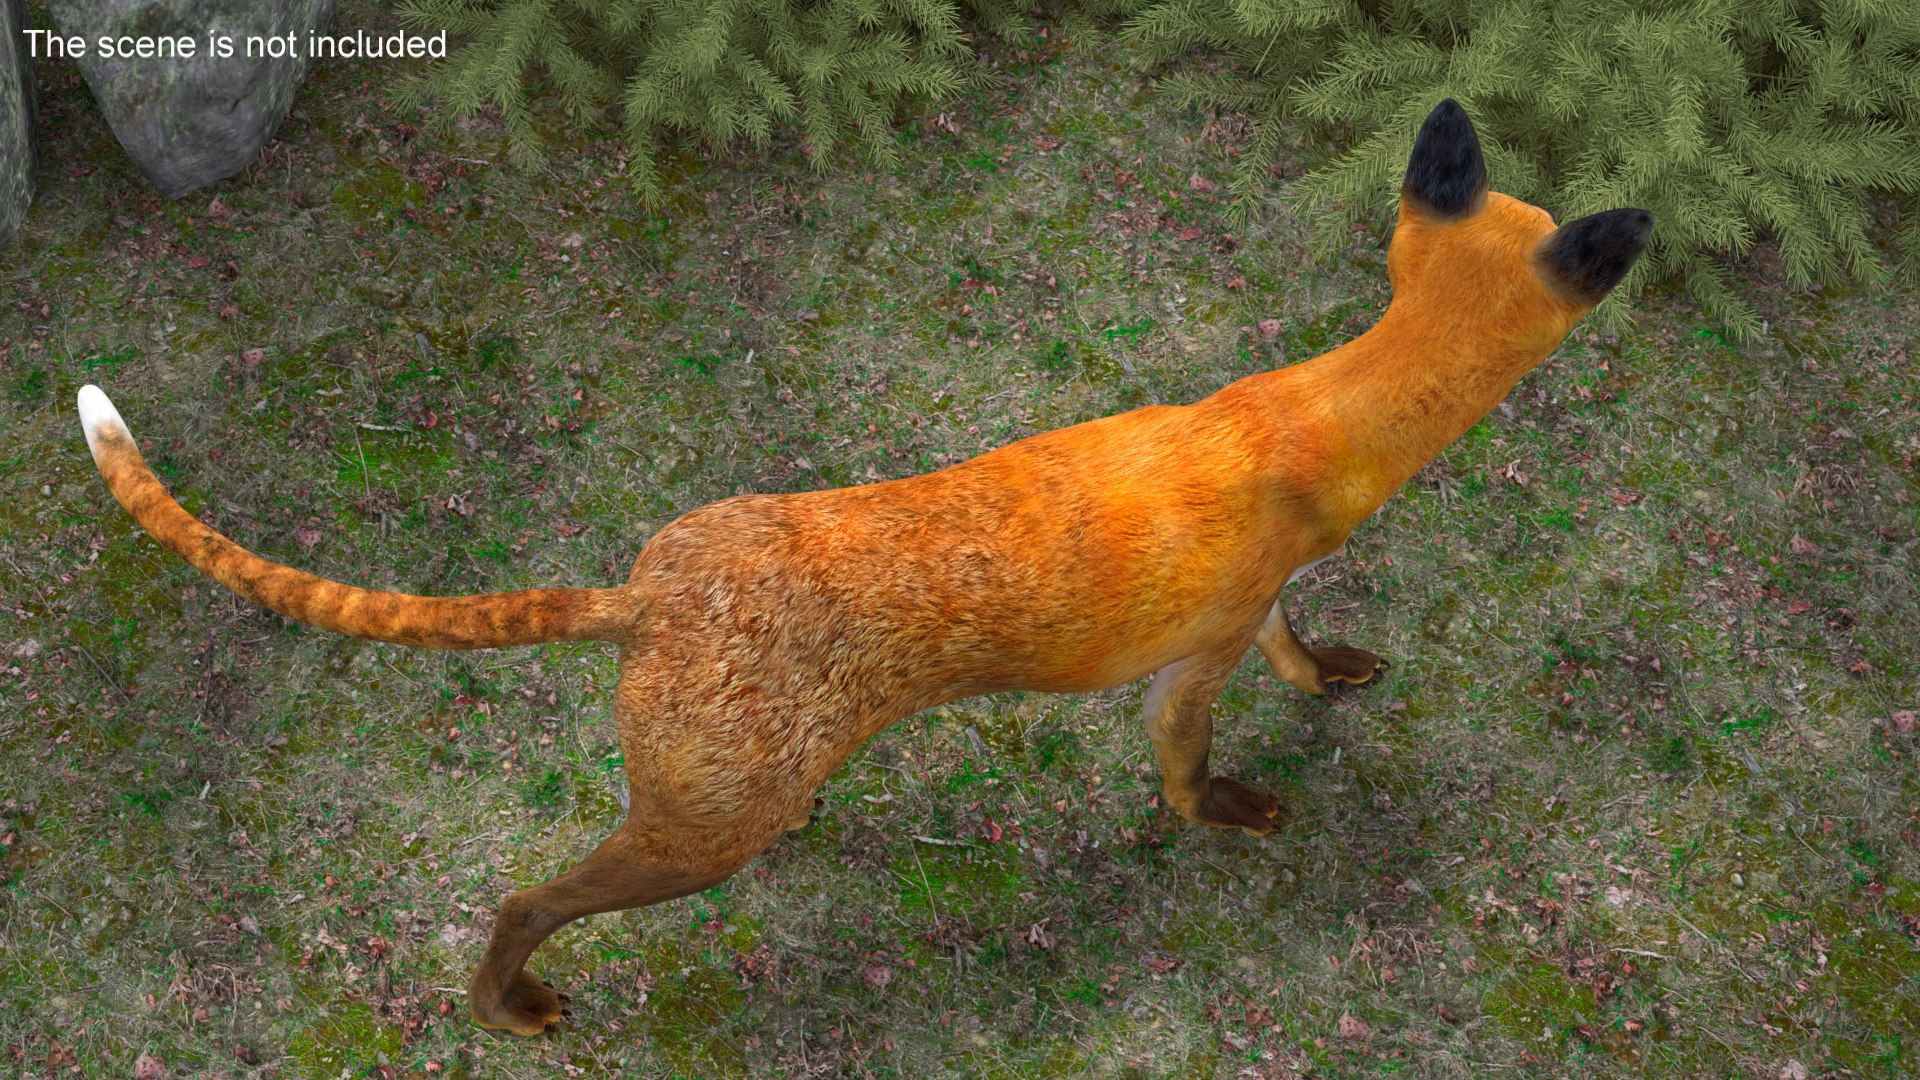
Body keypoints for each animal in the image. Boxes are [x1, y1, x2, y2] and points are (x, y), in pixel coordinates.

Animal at [78, 100, 1651, 1035]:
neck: (1303, 426)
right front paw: (1238, 815)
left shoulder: (1252, 609)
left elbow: (1298, 650)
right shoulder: (1184, 672)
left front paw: (1333, 679)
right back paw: (508, 1006)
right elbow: (1188, 773)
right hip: (697, 836)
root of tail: (646, 597)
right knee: (528, 901)